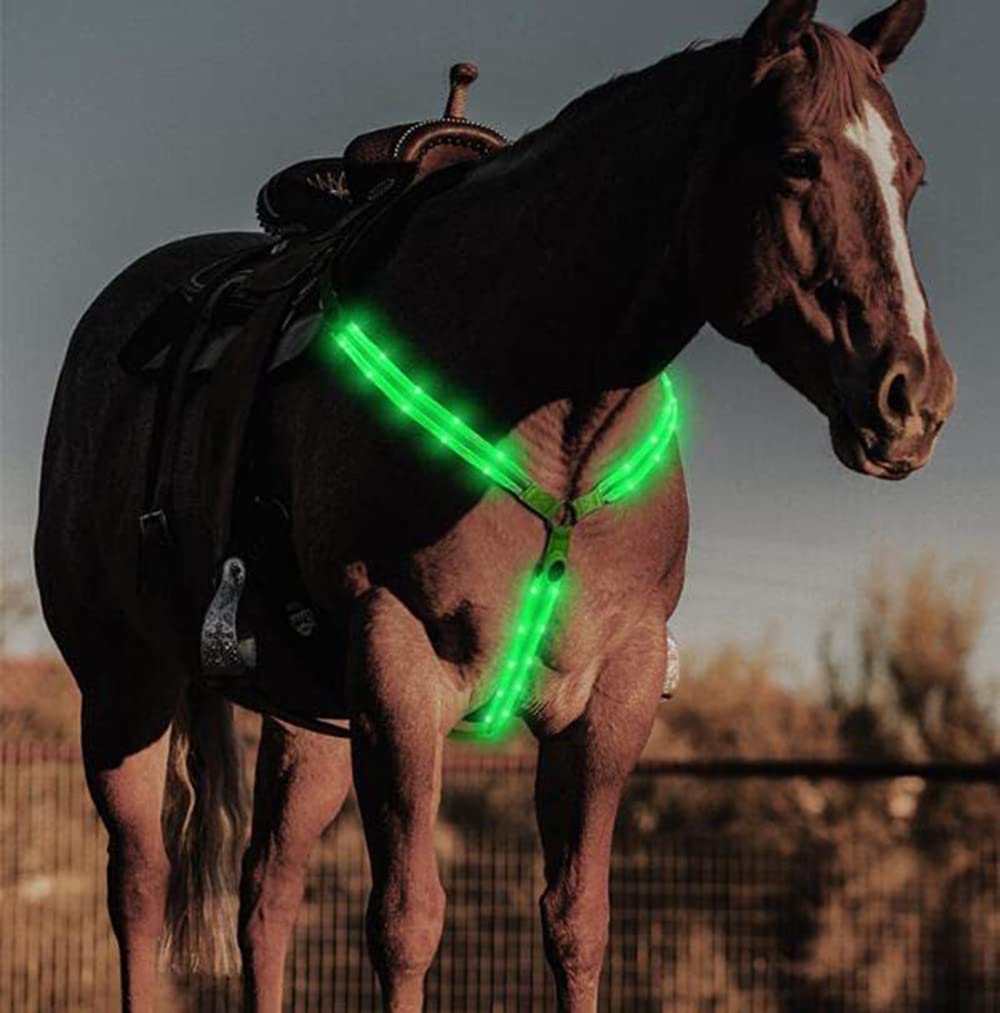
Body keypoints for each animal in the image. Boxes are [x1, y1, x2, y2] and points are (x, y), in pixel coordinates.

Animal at [34, 1, 955, 1009]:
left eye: (911, 172)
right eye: (796, 158)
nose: (914, 397)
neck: (547, 409)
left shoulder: (616, 690)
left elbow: (577, 921)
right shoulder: (399, 674)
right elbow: (407, 921)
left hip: (303, 722)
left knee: (266, 898)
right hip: (124, 687)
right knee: (139, 883)